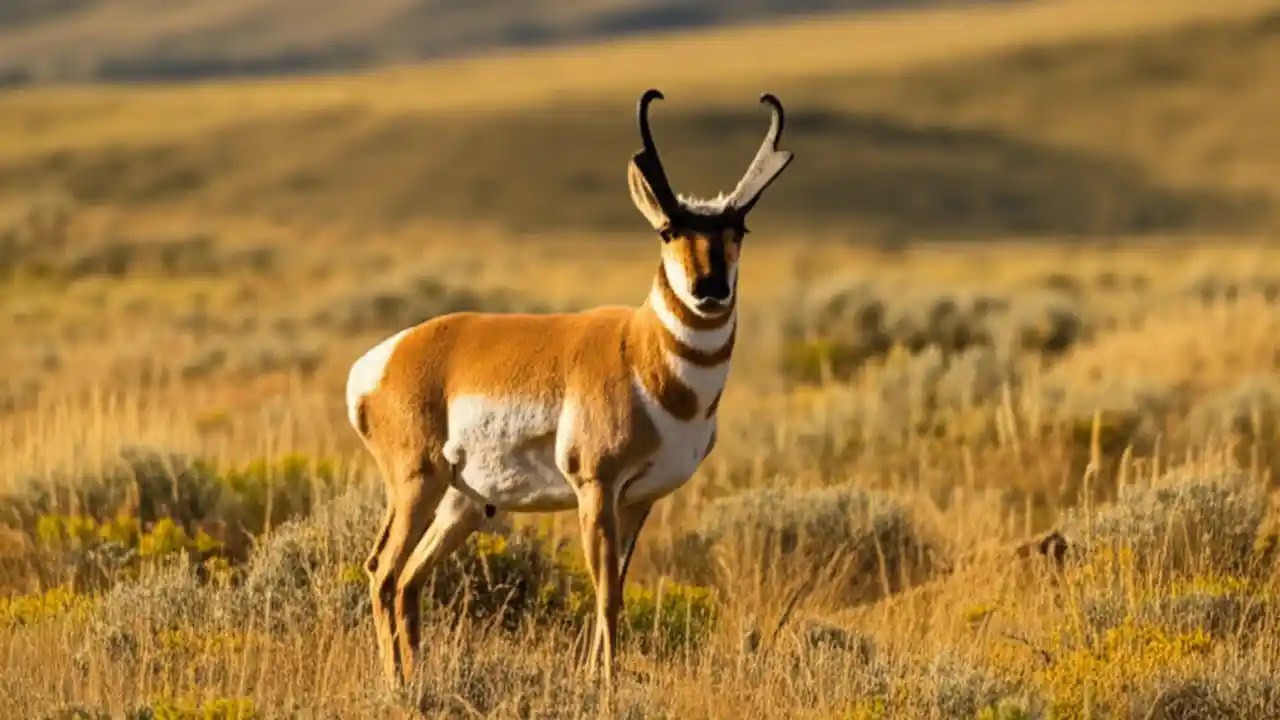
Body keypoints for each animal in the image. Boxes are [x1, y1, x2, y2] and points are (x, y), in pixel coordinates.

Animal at [345, 88, 794, 690]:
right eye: (668, 231)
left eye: (738, 231)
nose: (710, 289)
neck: (640, 350)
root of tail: (383, 359)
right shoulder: (595, 488)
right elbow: (605, 597)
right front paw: (606, 685)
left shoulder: (639, 501)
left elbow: (616, 589)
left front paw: (597, 677)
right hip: (418, 484)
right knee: (383, 570)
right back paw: (397, 683)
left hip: (464, 504)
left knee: (411, 577)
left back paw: (418, 677)